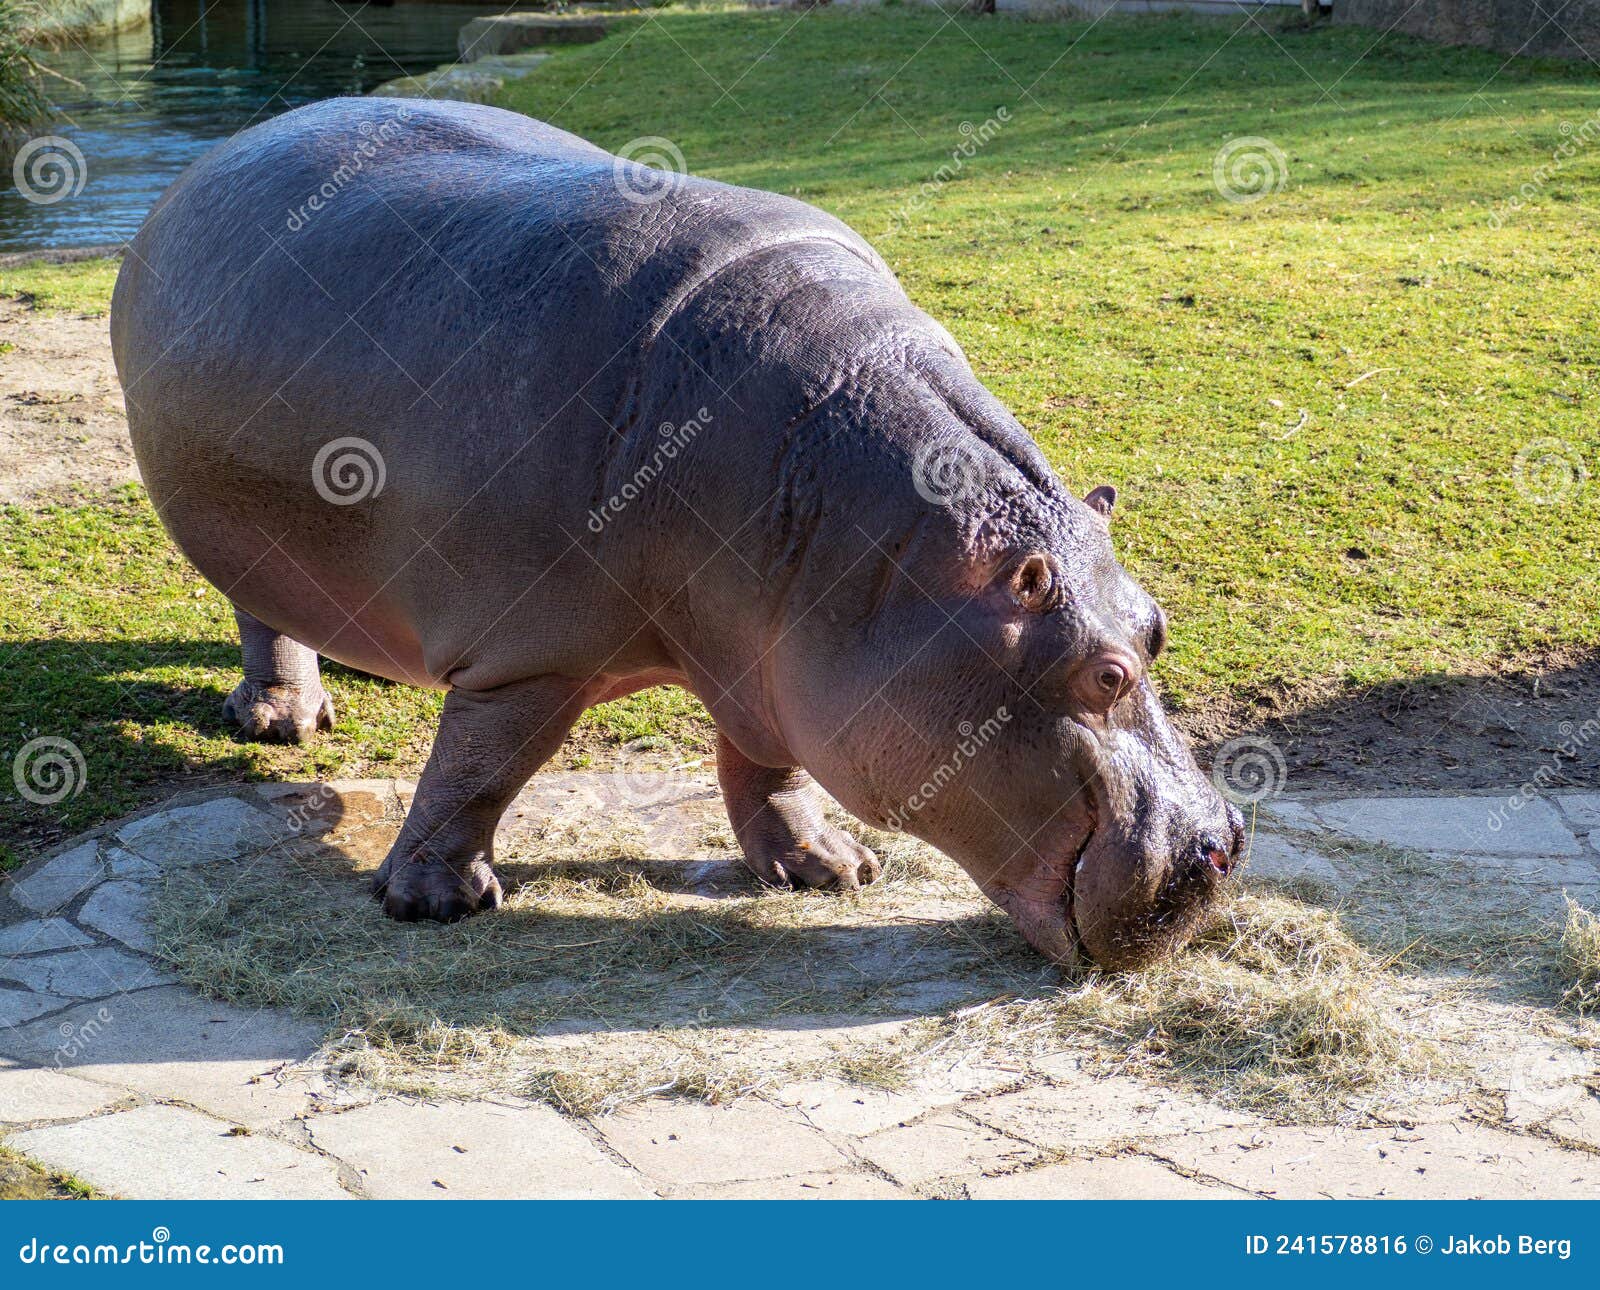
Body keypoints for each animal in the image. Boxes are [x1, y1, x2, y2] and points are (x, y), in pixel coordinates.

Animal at [110, 97, 1243, 969]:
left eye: (1156, 628)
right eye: (1102, 674)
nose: (1223, 845)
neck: (868, 545)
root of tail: (224, 147)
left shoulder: (770, 652)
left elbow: (766, 766)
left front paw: (831, 870)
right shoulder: (535, 653)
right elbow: (481, 766)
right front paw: (432, 903)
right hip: (245, 537)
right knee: (262, 613)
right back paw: (283, 723)